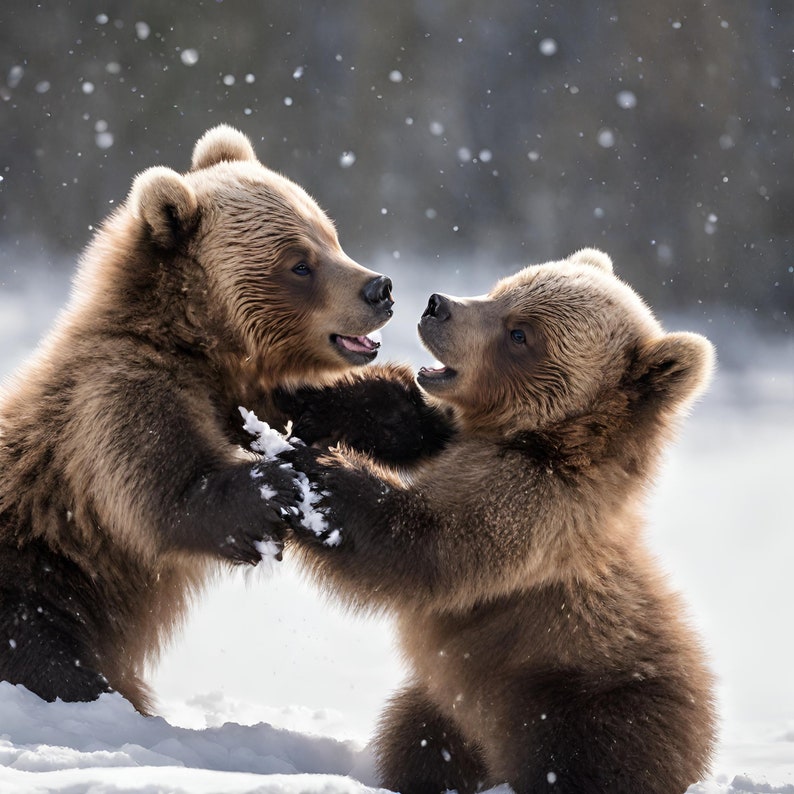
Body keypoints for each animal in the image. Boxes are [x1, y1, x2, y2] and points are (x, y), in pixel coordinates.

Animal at [0, 124, 398, 714]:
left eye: (330, 235)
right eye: (299, 263)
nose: (379, 289)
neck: (200, 348)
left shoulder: (246, 394)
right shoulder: (121, 394)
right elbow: (167, 491)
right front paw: (280, 487)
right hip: (38, 582)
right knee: (48, 660)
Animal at [282, 248, 717, 794]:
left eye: (520, 334)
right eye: (503, 290)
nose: (438, 305)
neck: (540, 441)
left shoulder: (532, 506)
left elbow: (424, 546)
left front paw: (316, 470)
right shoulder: (454, 442)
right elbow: (405, 415)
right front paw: (309, 403)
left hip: (583, 706)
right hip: (445, 707)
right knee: (419, 742)